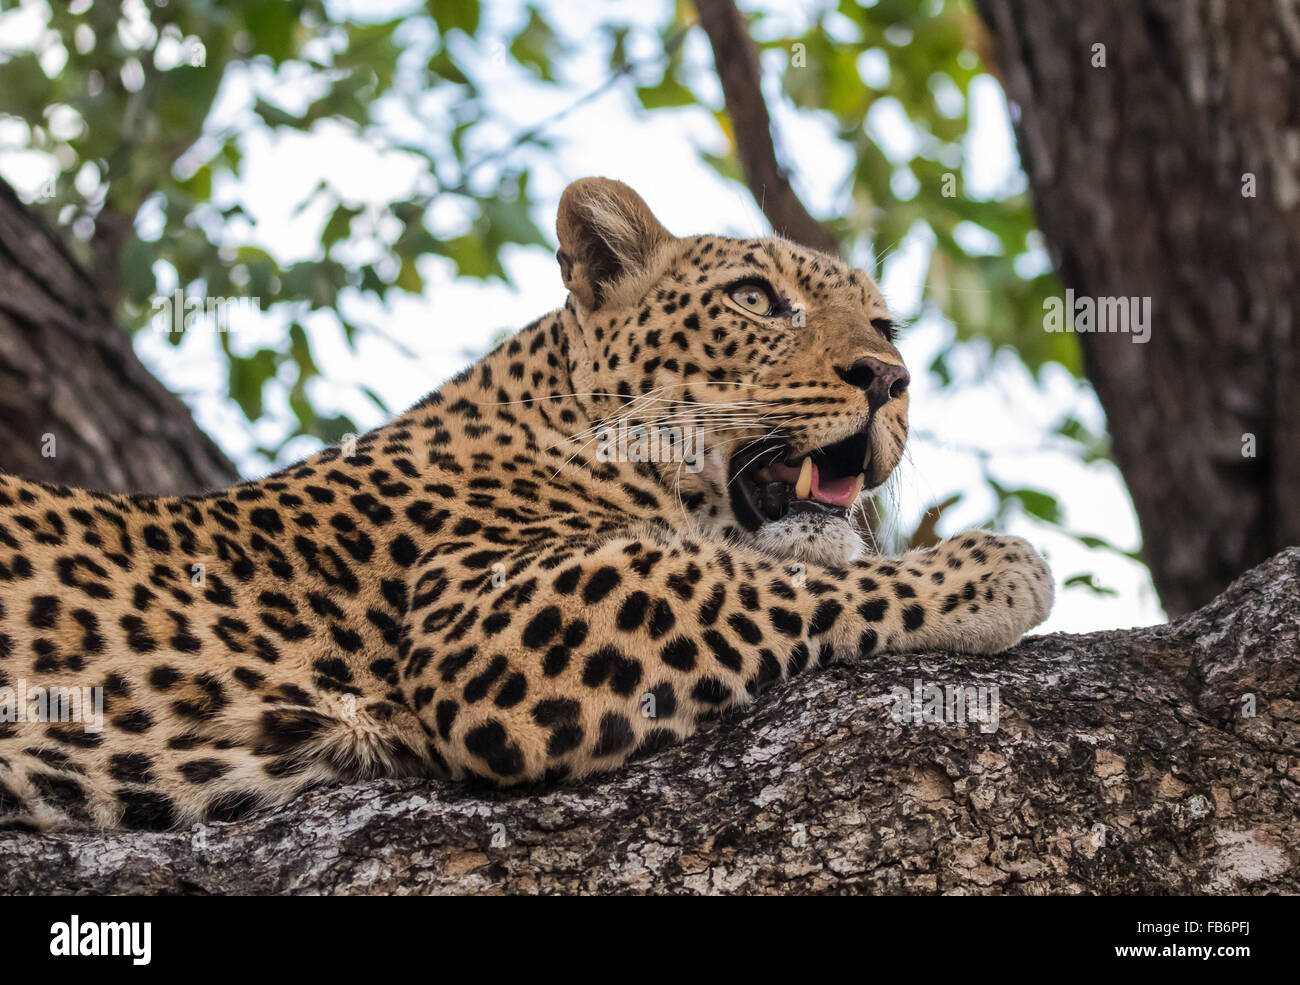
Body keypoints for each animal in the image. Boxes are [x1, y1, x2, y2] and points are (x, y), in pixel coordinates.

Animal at [0, 178, 1053, 831]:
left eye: (884, 325)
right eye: (755, 299)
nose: (890, 377)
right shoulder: (483, 613)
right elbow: (758, 581)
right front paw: (990, 568)